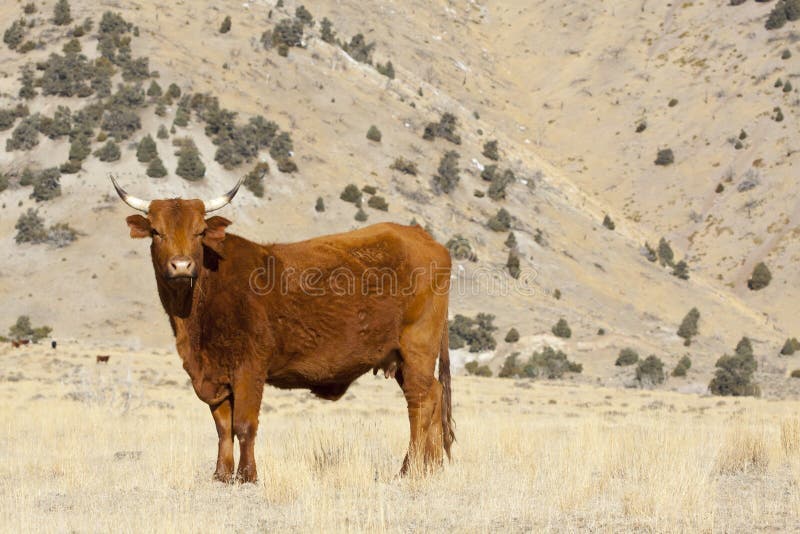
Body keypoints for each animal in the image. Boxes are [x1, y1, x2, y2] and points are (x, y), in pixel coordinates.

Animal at [111, 176, 454, 483]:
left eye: (200, 232)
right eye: (157, 232)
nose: (181, 266)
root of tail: (423, 237)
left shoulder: (250, 368)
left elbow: (244, 425)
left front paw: (247, 476)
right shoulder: (213, 373)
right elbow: (223, 427)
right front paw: (221, 474)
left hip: (417, 347)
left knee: (420, 401)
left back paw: (409, 470)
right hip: (399, 357)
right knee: (435, 395)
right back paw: (431, 468)